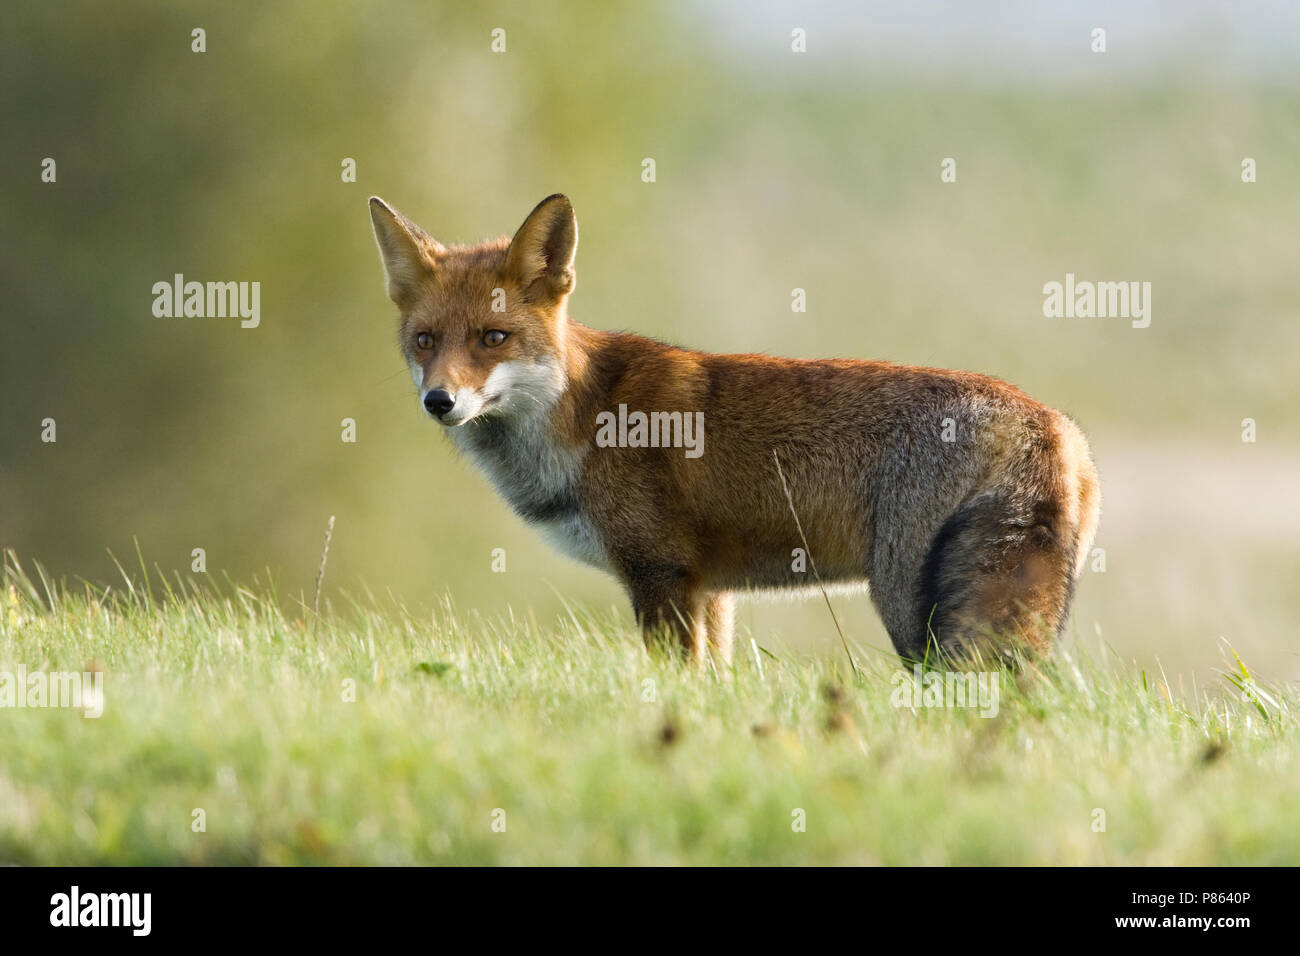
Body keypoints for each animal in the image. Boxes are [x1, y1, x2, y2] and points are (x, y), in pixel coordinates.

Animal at [368, 193, 1101, 666]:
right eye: (426, 341)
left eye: (493, 338)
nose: (440, 400)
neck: (582, 417)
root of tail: (1049, 422)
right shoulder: (709, 589)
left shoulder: (659, 575)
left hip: (908, 609)